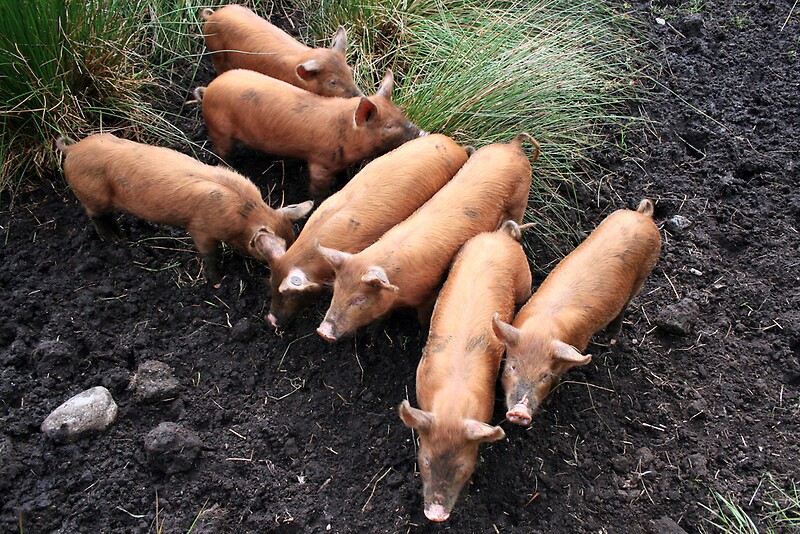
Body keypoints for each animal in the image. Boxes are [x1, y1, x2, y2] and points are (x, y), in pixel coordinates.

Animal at [56, 133, 313, 285]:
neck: (245, 213)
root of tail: (72, 149)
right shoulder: (200, 229)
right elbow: (209, 254)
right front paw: (217, 282)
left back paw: (120, 236)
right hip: (92, 196)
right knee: (96, 216)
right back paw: (115, 241)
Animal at [194, 68, 424, 198]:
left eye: (401, 113)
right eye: (389, 127)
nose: (422, 132)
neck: (346, 133)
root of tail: (208, 89)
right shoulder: (321, 163)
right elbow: (317, 189)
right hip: (219, 130)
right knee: (223, 154)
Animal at [315, 133, 540, 342]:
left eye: (359, 299)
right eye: (335, 289)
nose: (322, 331)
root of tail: (513, 146)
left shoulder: (428, 294)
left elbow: (423, 318)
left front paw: (421, 336)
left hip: (520, 200)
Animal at [398, 220, 532, 522]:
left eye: (461, 467)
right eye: (425, 460)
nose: (436, 514)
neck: (452, 404)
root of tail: (501, 236)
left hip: (525, 279)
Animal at [492, 199, 662, 426]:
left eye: (544, 376)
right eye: (512, 367)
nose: (520, 412)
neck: (543, 328)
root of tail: (643, 215)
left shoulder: (577, 347)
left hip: (645, 272)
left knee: (625, 305)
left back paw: (611, 338)